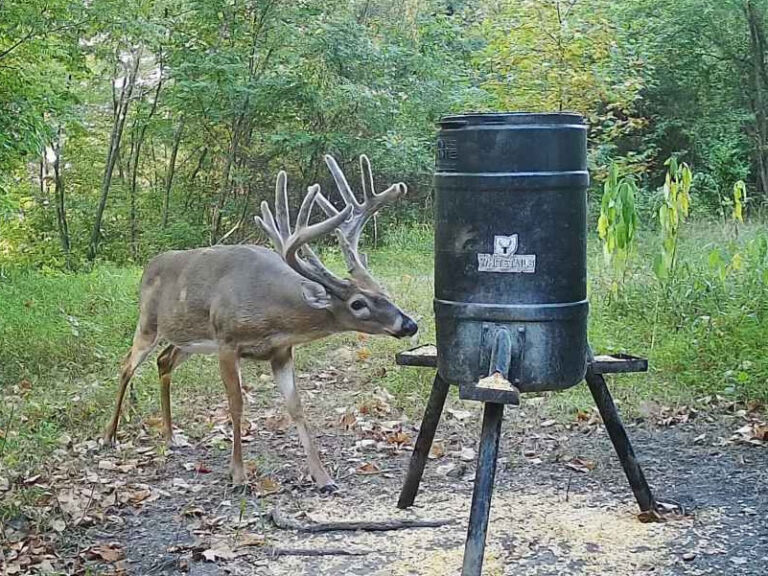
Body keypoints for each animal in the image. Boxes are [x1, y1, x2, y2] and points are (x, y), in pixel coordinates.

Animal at [103, 154, 418, 491]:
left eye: (383, 292)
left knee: (164, 361)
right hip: (148, 323)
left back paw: (171, 436)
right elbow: (236, 404)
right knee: (127, 364)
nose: (409, 324)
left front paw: (323, 477)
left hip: (188, 339)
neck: (271, 314)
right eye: (358, 304)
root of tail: (150, 264)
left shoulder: (281, 351)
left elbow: (296, 407)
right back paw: (109, 436)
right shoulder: (227, 342)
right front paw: (239, 475)